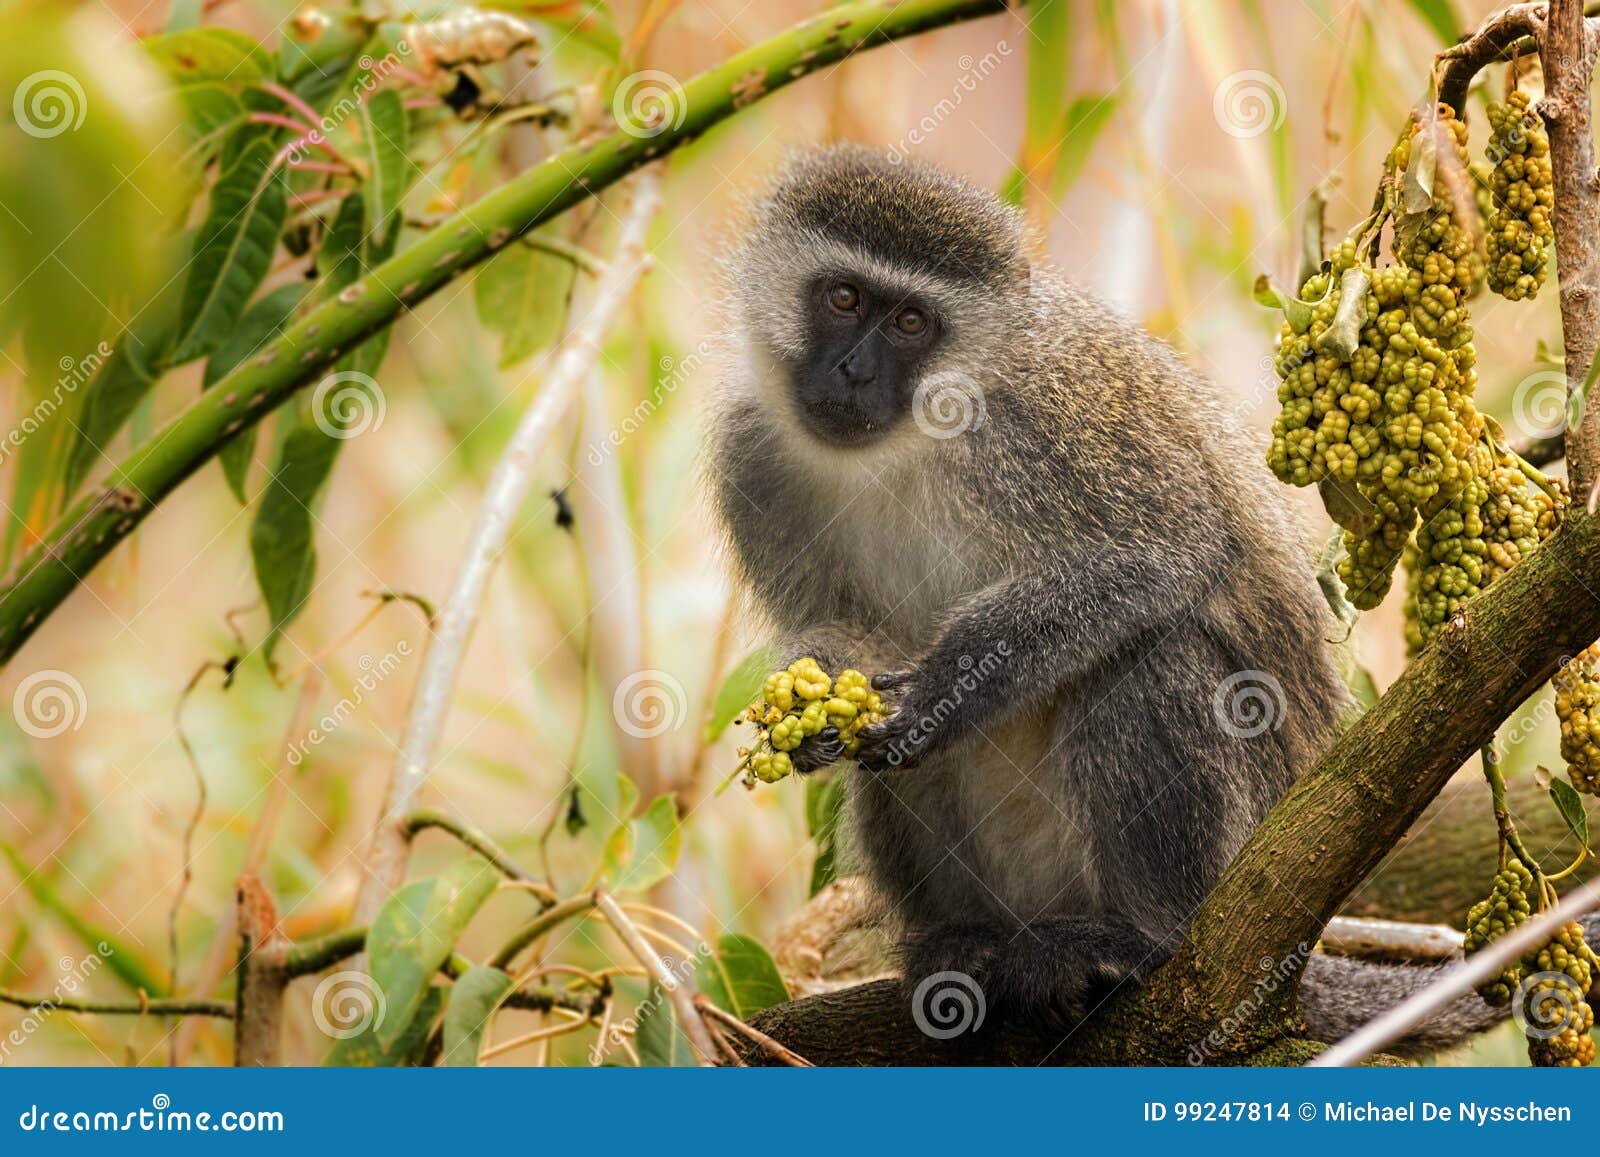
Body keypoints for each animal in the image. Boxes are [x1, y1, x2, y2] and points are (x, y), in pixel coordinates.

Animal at [705, 144, 1567, 1057]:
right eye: (843, 299)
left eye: (910, 322)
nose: (854, 370)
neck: (904, 441)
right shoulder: (750, 456)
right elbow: (836, 633)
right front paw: (821, 708)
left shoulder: (1046, 416)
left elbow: (1167, 549)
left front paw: (944, 690)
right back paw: (964, 945)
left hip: (1238, 855)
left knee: (1154, 657)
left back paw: (1140, 937)